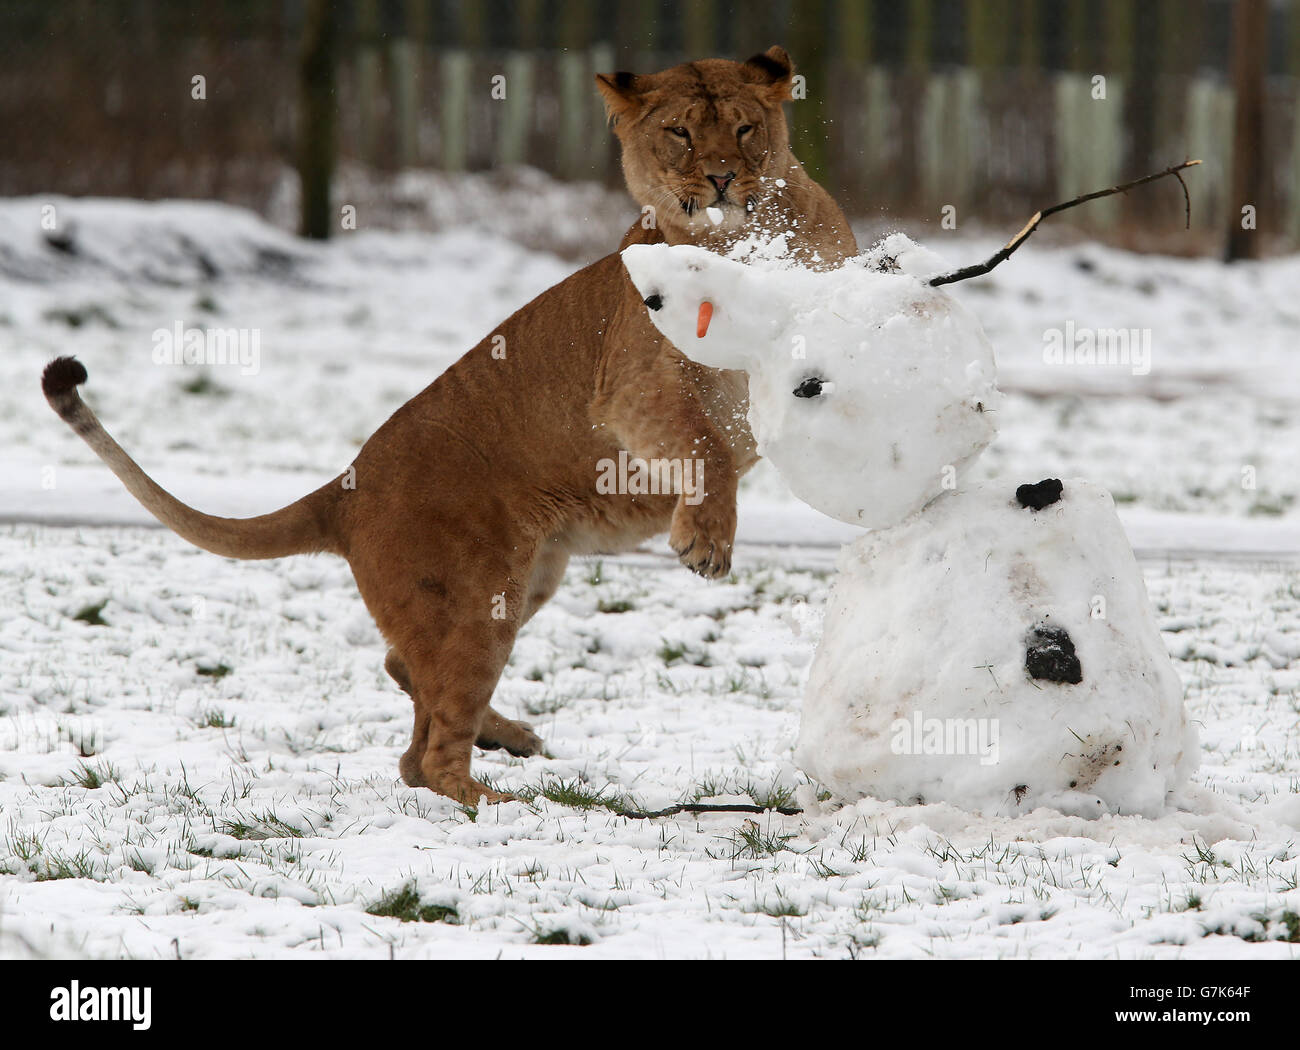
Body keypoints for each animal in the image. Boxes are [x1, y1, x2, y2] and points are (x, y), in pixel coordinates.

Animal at [42, 47, 857, 805]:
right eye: (681, 134)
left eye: (745, 130)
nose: (721, 180)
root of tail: (342, 489)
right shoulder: (633, 389)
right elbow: (704, 445)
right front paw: (705, 541)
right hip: (478, 599)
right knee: (432, 750)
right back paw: (498, 798)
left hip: (529, 579)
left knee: (409, 697)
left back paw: (509, 742)